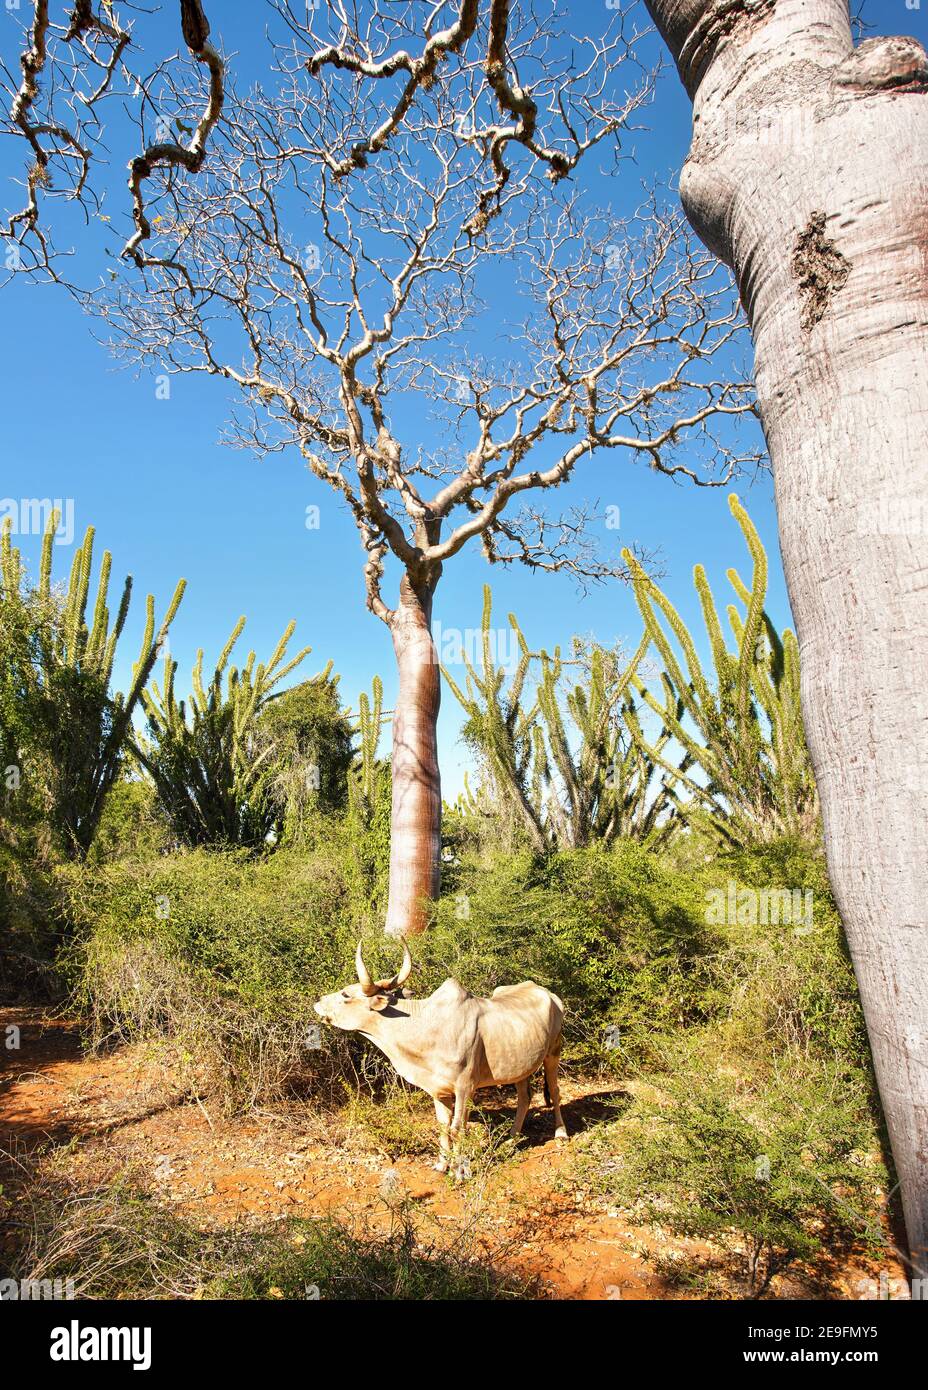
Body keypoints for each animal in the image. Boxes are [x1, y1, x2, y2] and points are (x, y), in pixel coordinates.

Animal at [314, 940, 568, 1173]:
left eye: (346, 994)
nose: (317, 1002)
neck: (426, 1026)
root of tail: (550, 994)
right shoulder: (439, 1090)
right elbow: (444, 1127)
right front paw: (442, 1164)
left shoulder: (465, 1087)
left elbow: (458, 1128)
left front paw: (459, 1170)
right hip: (520, 1066)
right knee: (525, 1097)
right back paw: (511, 1140)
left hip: (553, 1053)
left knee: (555, 1092)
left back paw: (561, 1133)